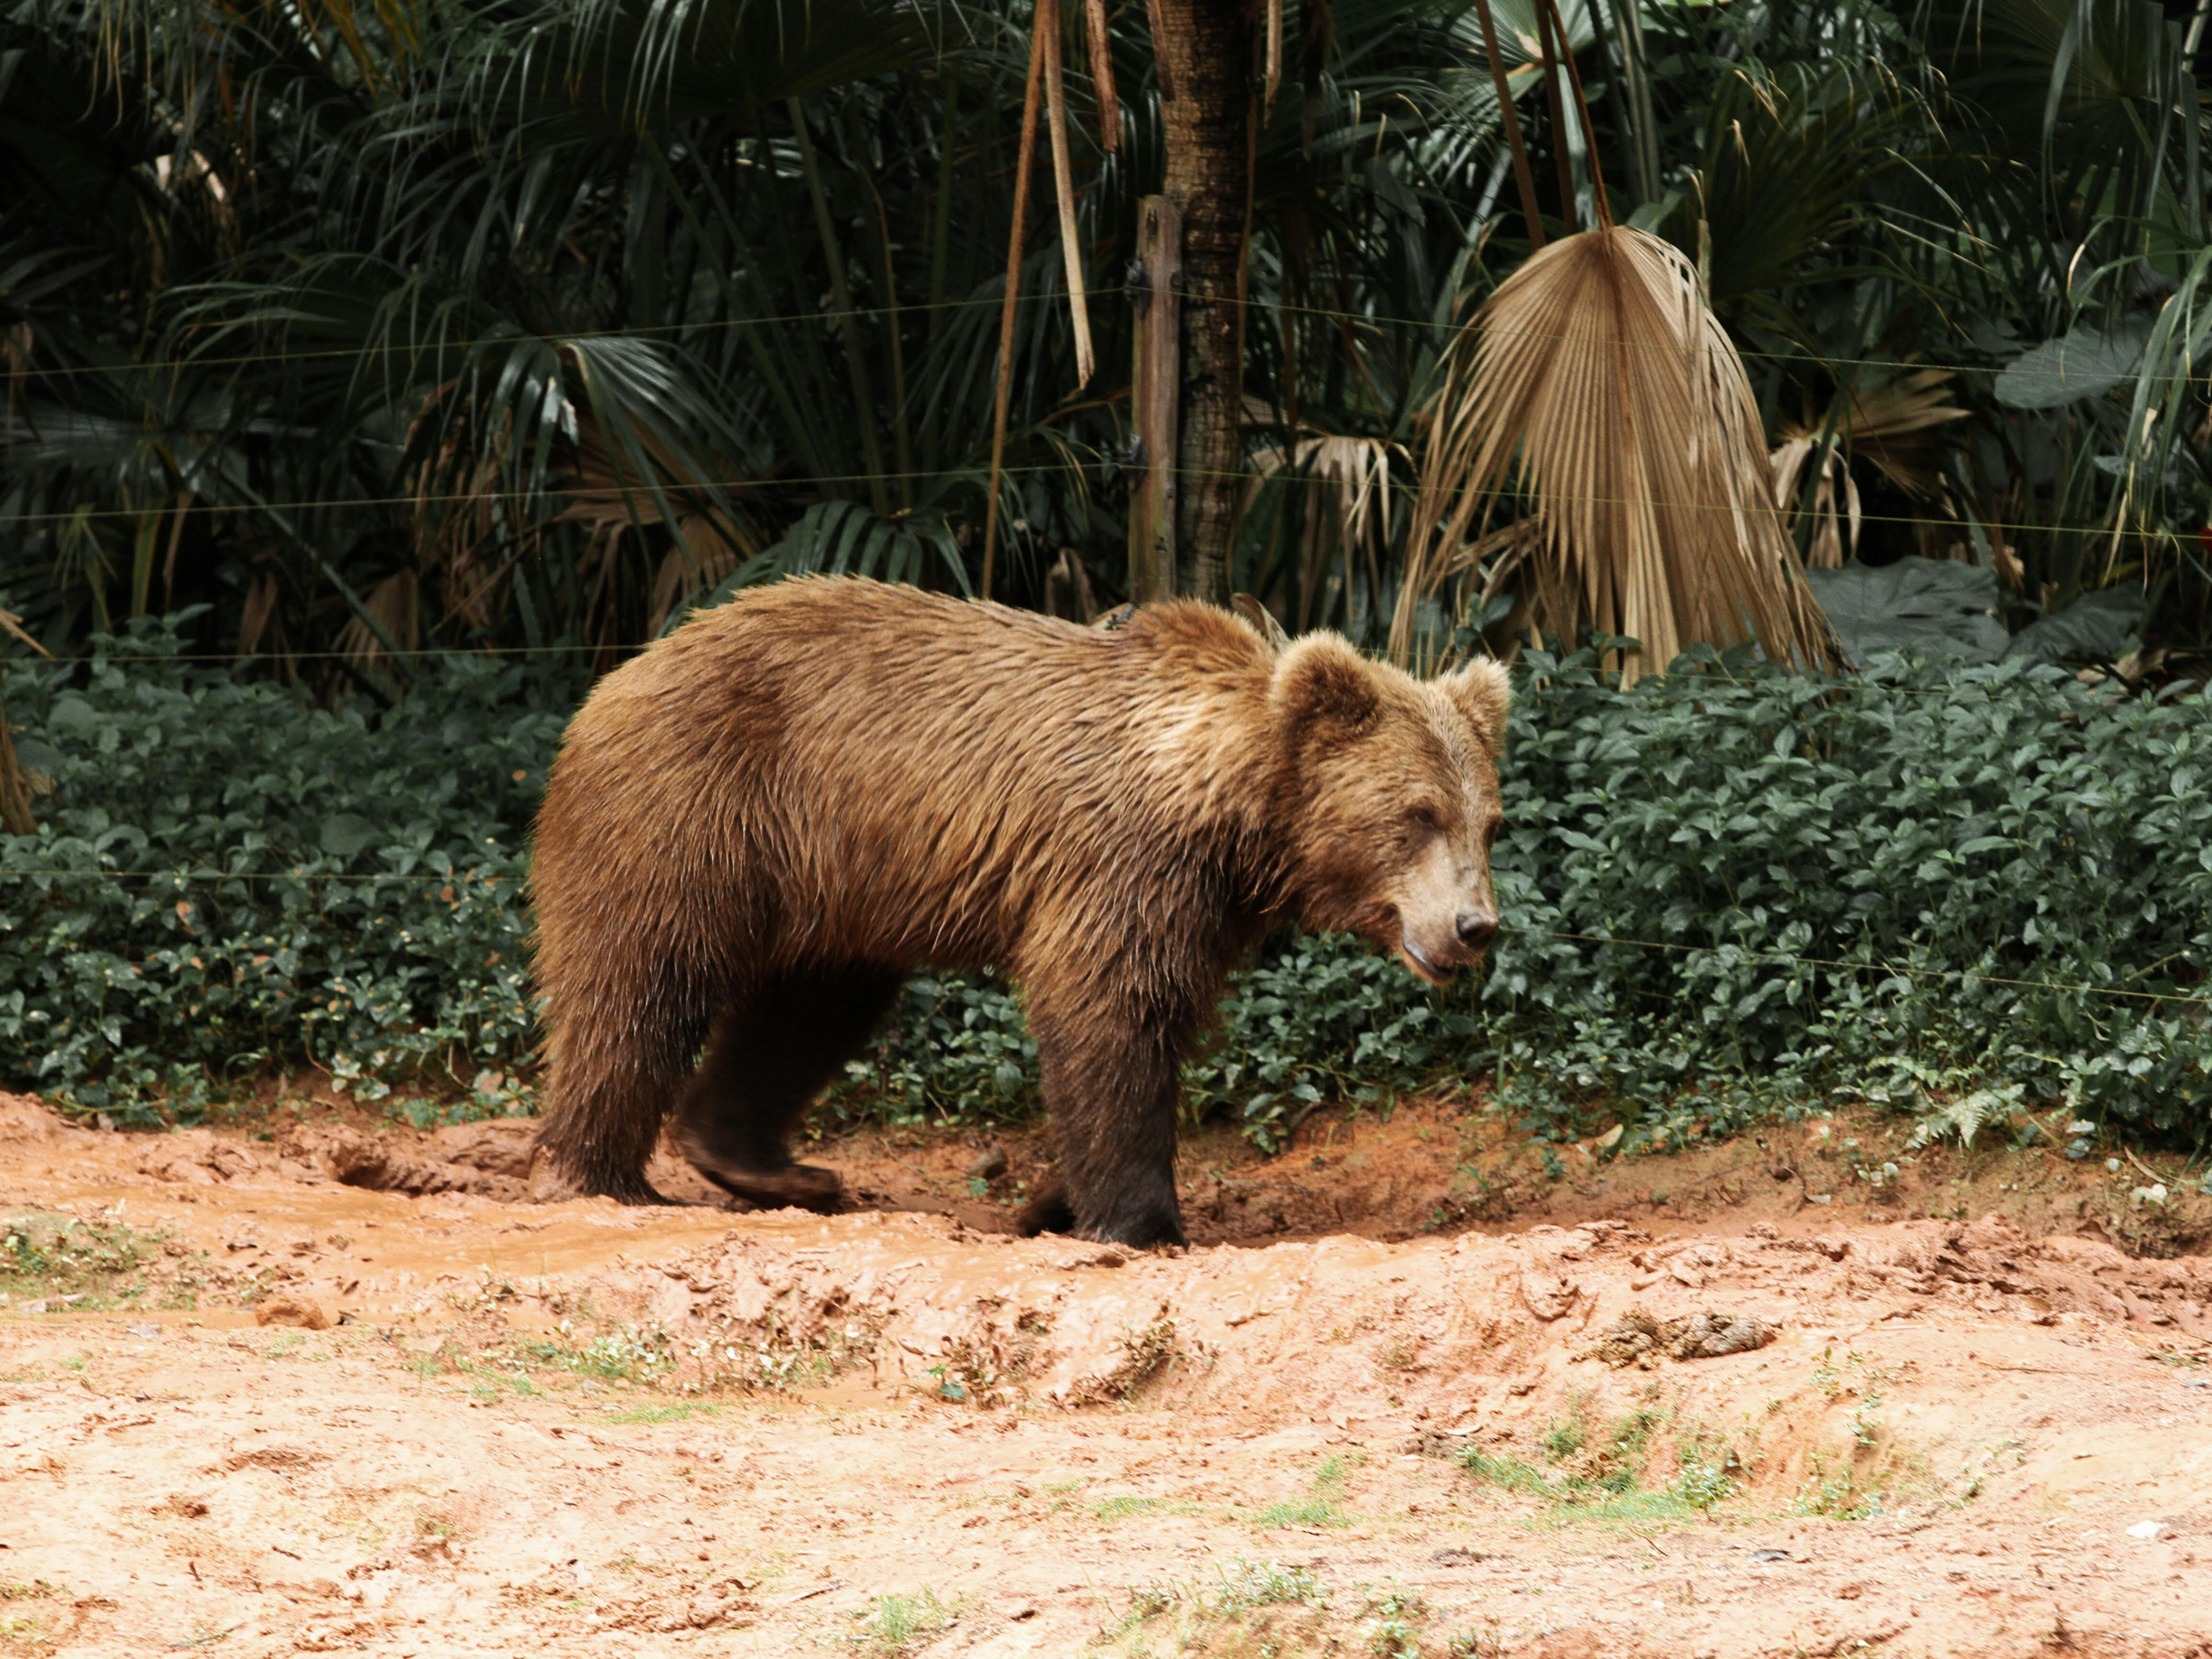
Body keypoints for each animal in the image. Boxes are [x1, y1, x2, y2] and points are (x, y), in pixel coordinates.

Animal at [528, 575, 1509, 1248]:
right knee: (642, 979)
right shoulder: (1125, 866)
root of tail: (617, 678)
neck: (1232, 810)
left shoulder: (1202, 906)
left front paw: (1050, 1201)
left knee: (811, 1003)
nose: (1474, 927)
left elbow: (1150, 1028)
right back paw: (606, 1173)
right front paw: (1143, 1220)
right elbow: (1111, 1017)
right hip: (697, 807)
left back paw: (766, 1165)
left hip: (833, 872)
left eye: (1487, 819)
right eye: (1417, 814)